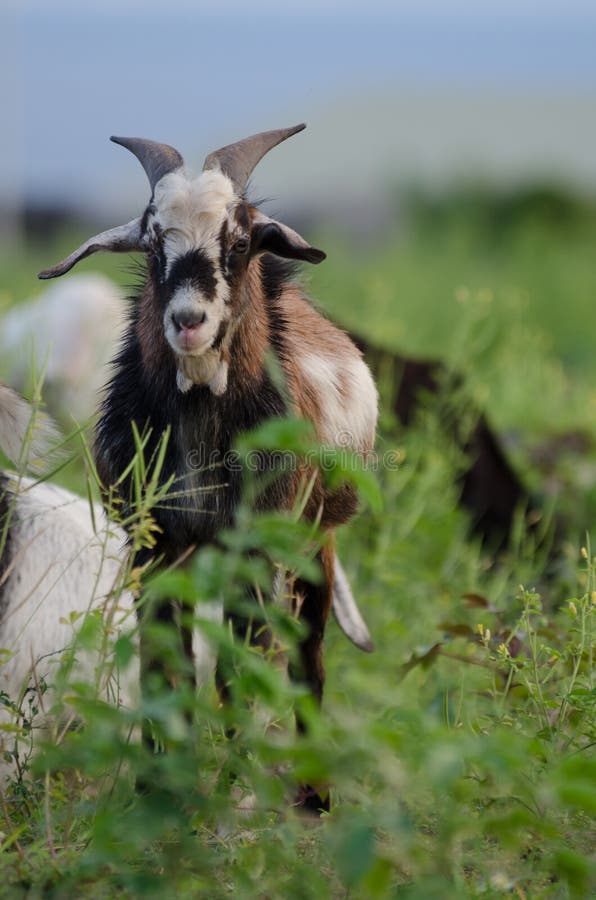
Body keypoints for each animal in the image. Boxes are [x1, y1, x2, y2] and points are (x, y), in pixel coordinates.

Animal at [39, 124, 378, 811]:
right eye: (151, 240)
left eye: (241, 240)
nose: (188, 322)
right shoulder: (155, 547)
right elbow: (164, 660)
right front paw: (158, 789)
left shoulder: (259, 547)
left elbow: (243, 660)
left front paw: (237, 787)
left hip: (313, 544)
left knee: (305, 654)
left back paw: (312, 794)